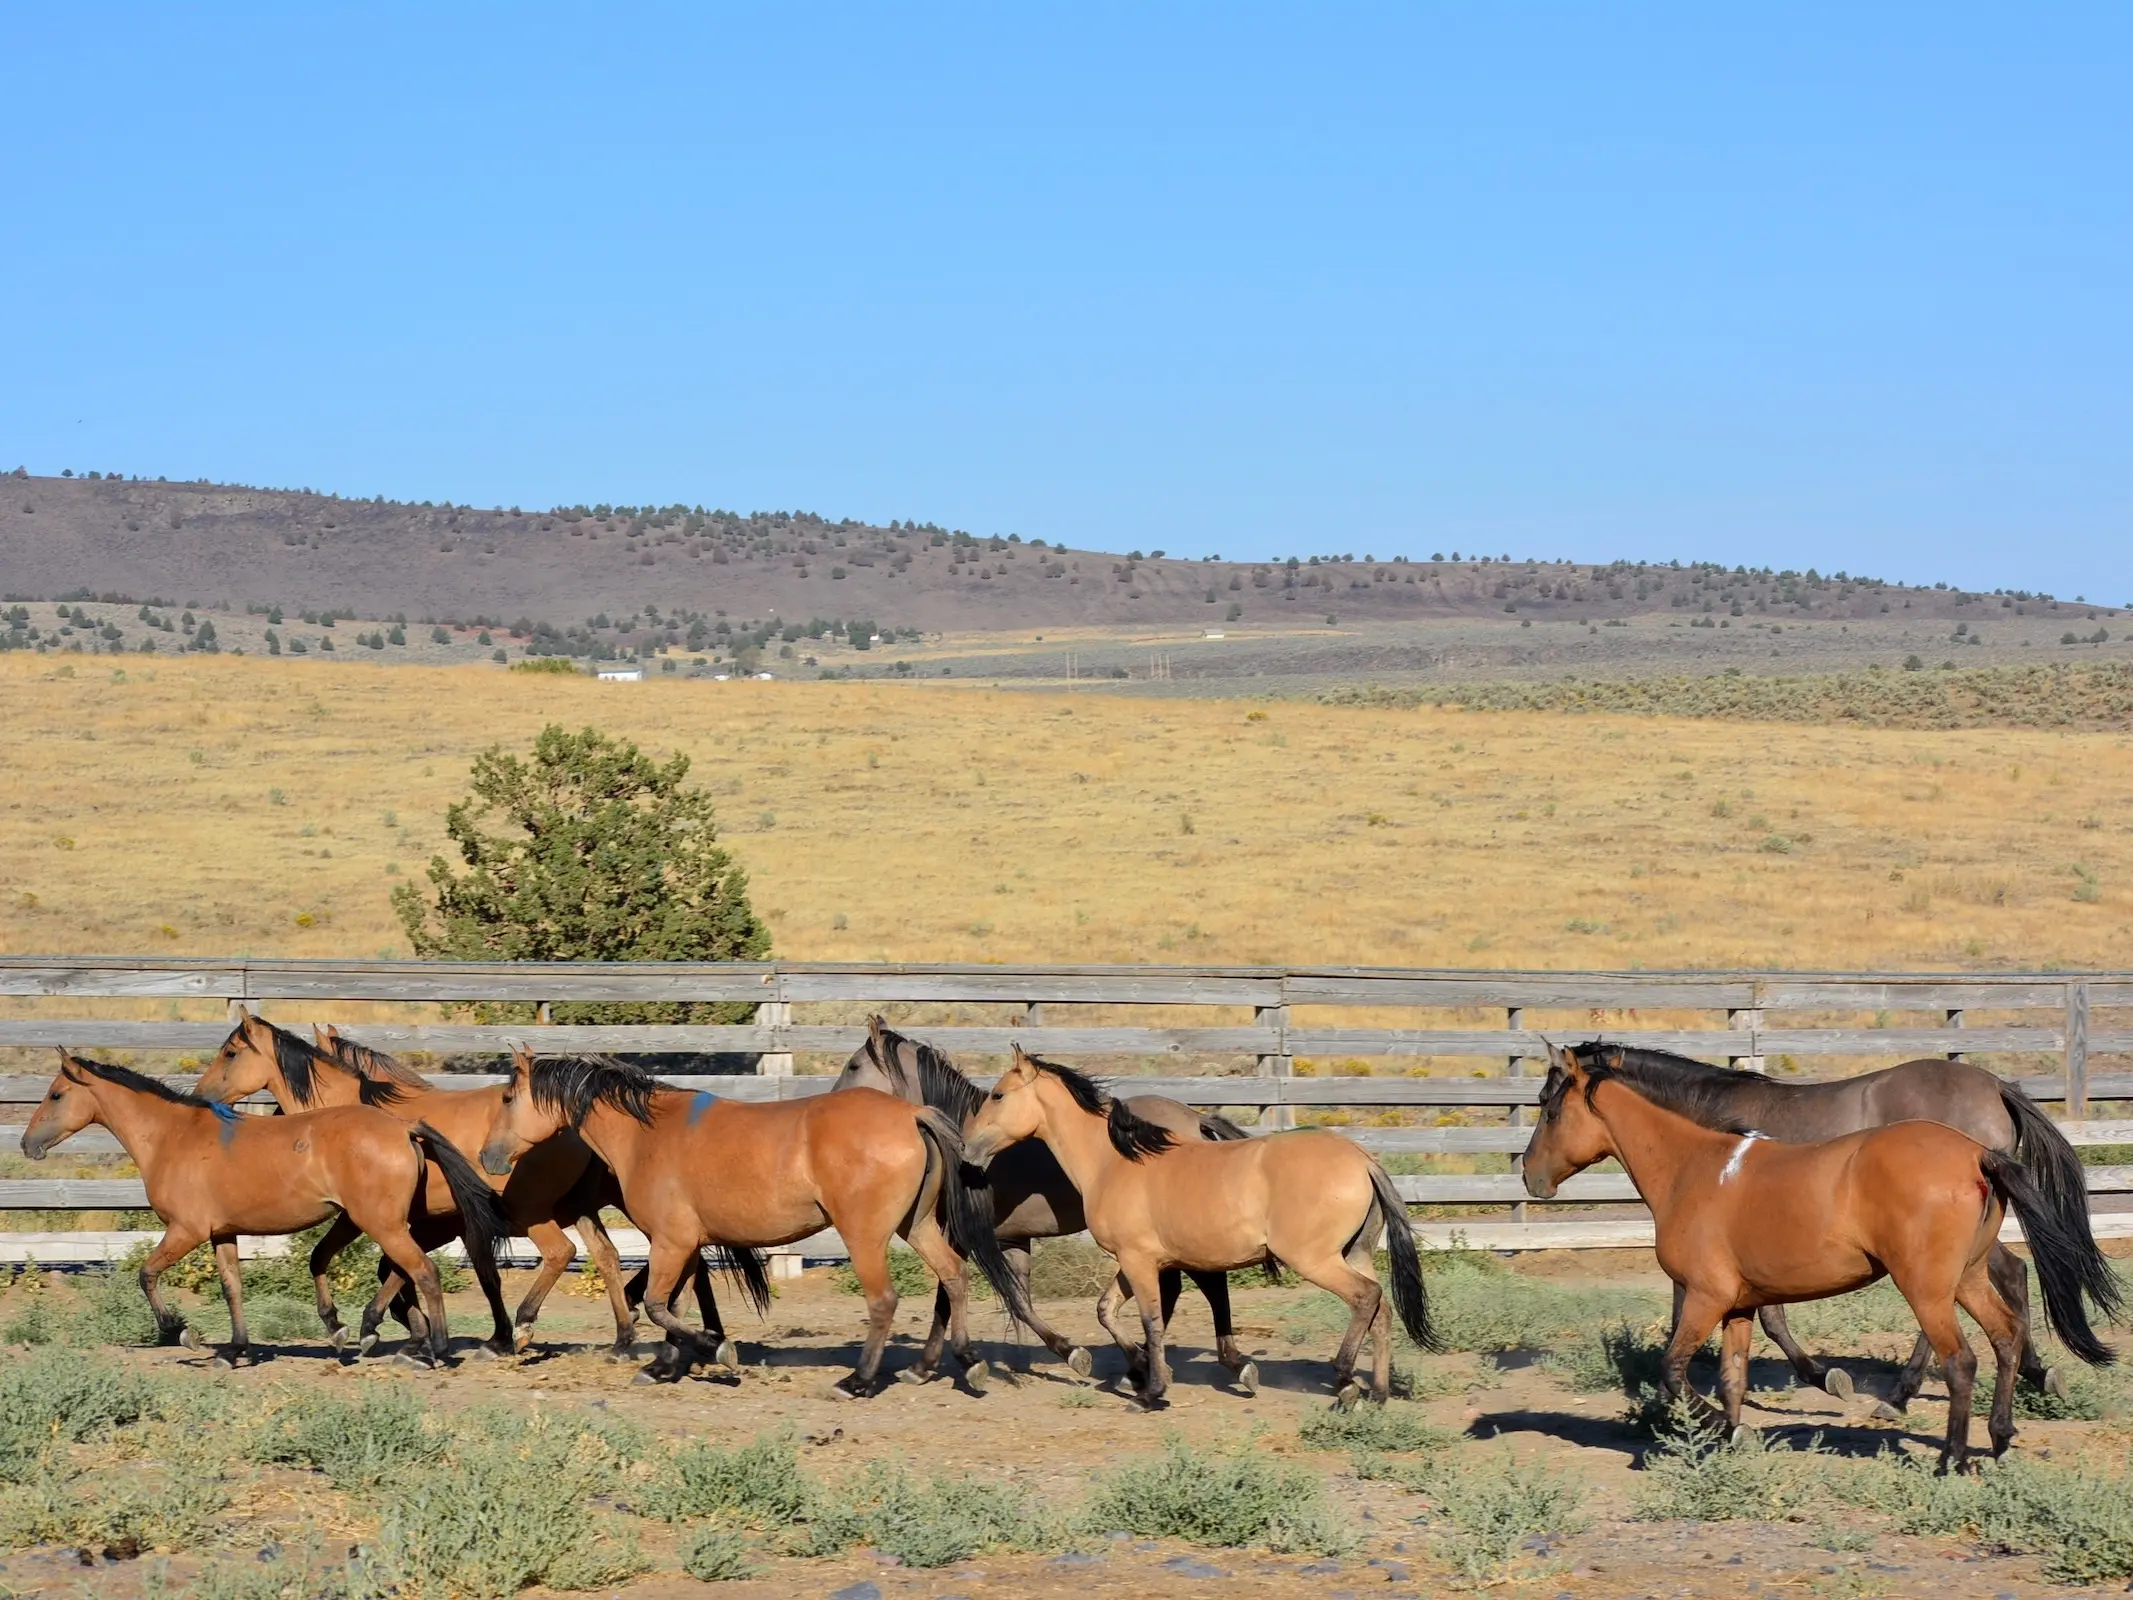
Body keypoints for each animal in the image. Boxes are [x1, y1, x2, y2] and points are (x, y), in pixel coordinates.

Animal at [20, 1051, 506, 1367]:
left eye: (57, 1094)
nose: (27, 1144)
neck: (172, 1137)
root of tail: (403, 1127)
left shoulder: (186, 1230)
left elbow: (147, 1274)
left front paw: (182, 1332)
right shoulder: (221, 1233)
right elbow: (232, 1288)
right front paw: (235, 1350)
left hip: (380, 1223)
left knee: (422, 1271)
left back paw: (432, 1349)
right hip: (369, 1221)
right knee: (397, 1272)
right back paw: (363, 1333)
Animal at [478, 1048, 1029, 1394]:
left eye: (506, 1099)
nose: (489, 1156)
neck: (646, 1135)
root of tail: (912, 1113)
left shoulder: (670, 1242)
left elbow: (657, 1305)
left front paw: (717, 1351)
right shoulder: (684, 1243)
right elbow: (675, 1305)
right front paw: (663, 1367)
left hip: (865, 1236)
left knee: (884, 1301)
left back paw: (857, 1381)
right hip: (915, 1225)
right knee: (954, 1276)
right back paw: (959, 1364)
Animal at [832, 1015, 1263, 1387]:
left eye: (853, 1065)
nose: (832, 1104)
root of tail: (1196, 1119)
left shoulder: (963, 1235)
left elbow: (950, 1295)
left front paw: (929, 1366)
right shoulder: (1013, 1239)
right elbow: (1018, 1300)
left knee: (1207, 1284)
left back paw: (1217, 1365)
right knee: (1176, 1288)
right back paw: (1145, 1368)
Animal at [962, 1045, 1436, 1409]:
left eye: (998, 1095)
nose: (966, 1148)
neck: (1113, 1162)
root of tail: (1363, 1160)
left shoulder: (1138, 1259)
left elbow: (1151, 1319)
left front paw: (1152, 1390)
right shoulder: (1141, 1260)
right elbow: (1107, 1310)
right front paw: (1136, 1371)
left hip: (1314, 1258)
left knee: (1365, 1298)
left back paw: (1344, 1381)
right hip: (1355, 1252)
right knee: (1382, 1309)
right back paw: (1377, 1393)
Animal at [1521, 1044, 2117, 1472]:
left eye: (1548, 1108)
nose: (1530, 1177)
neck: (1698, 1160)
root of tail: (1978, 1147)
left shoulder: (1709, 1293)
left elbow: (1678, 1365)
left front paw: (1723, 1421)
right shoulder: (1738, 1300)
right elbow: (1732, 1374)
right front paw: (1729, 1436)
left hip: (1924, 1284)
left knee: (1961, 1357)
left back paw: (1943, 1446)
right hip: (1963, 1277)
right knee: (2006, 1324)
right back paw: (2002, 1430)